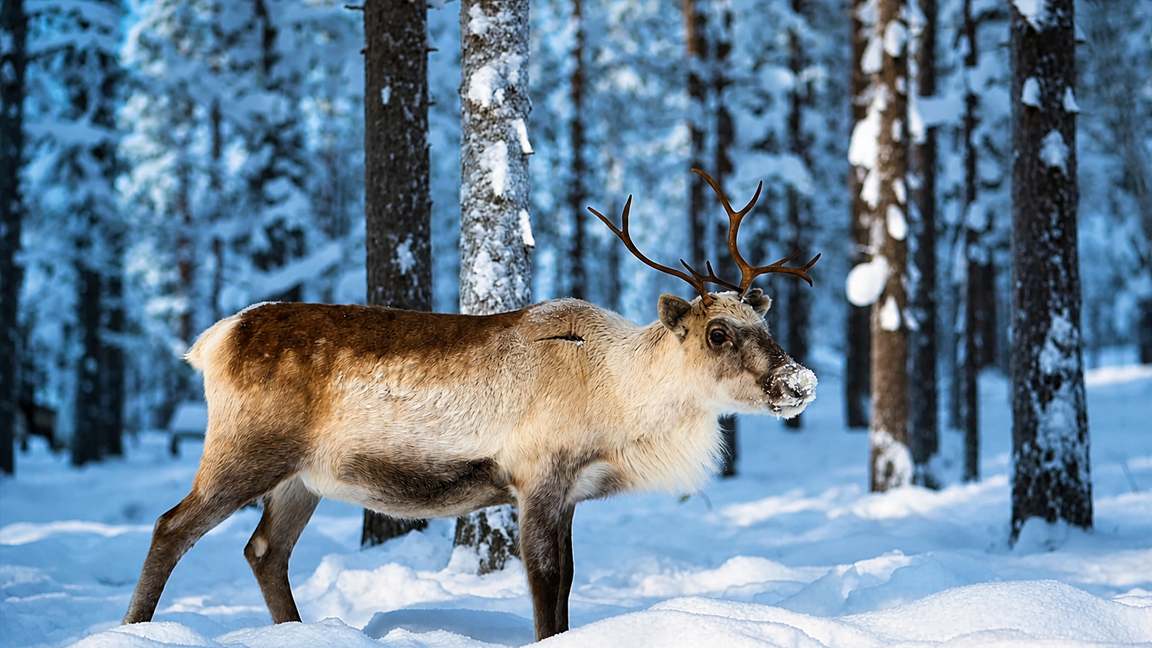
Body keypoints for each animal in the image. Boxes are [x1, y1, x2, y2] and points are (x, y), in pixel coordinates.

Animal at [123, 169, 820, 642]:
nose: (800, 381)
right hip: (246, 449)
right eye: (717, 333)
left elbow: (569, 579)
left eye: (763, 323)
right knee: (171, 526)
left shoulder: (569, 491)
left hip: (302, 477)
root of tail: (212, 341)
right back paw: (134, 627)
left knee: (264, 550)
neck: (620, 400)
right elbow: (545, 582)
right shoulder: (537, 478)